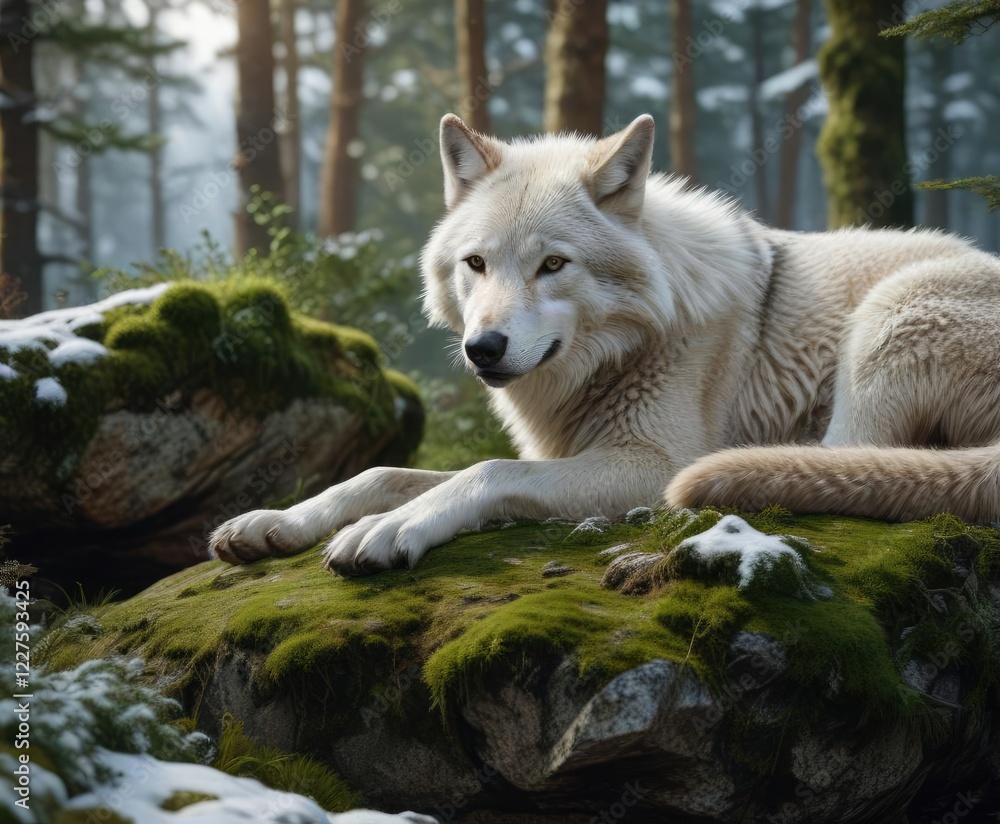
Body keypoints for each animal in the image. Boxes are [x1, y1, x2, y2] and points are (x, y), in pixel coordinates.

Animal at [210, 114, 1000, 575]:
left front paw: (393, 529)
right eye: (477, 264)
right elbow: (377, 474)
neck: (626, 348)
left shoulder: (651, 460)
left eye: (553, 265)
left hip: (891, 314)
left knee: (841, 462)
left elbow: (487, 471)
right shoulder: (558, 451)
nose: (483, 348)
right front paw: (279, 522)